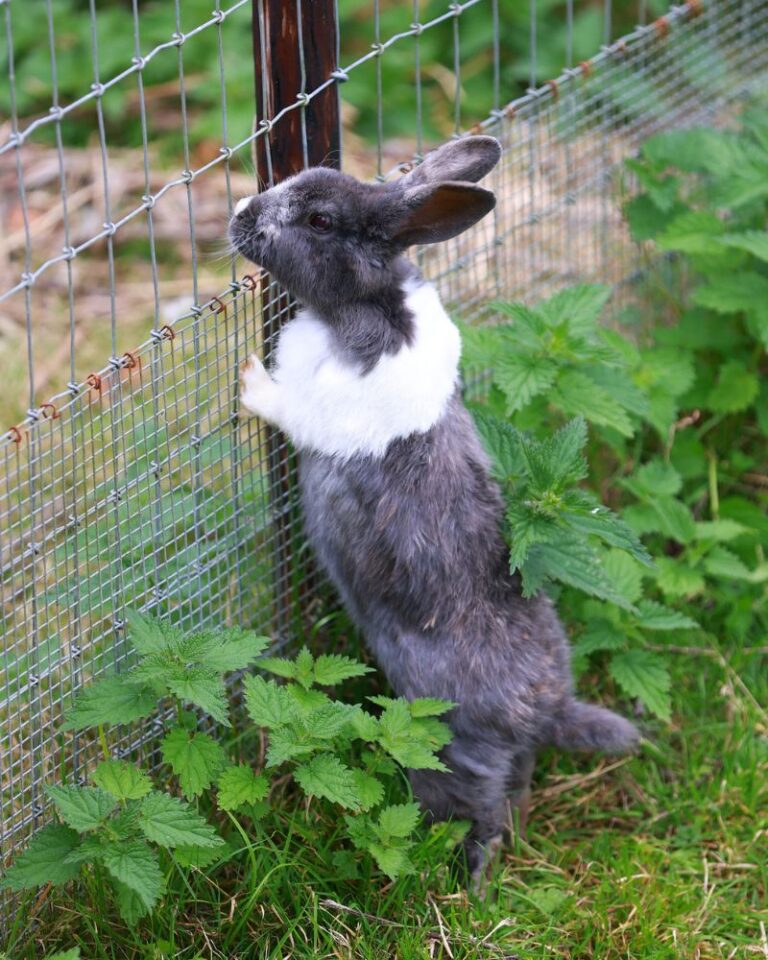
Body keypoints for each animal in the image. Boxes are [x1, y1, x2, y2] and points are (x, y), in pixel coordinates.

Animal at [229, 135, 639, 884]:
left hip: (453, 755)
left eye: (320, 221)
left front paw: (248, 379)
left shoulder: (316, 409)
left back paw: (464, 878)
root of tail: (547, 711)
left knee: (480, 811)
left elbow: (283, 405)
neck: (371, 303)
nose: (242, 212)